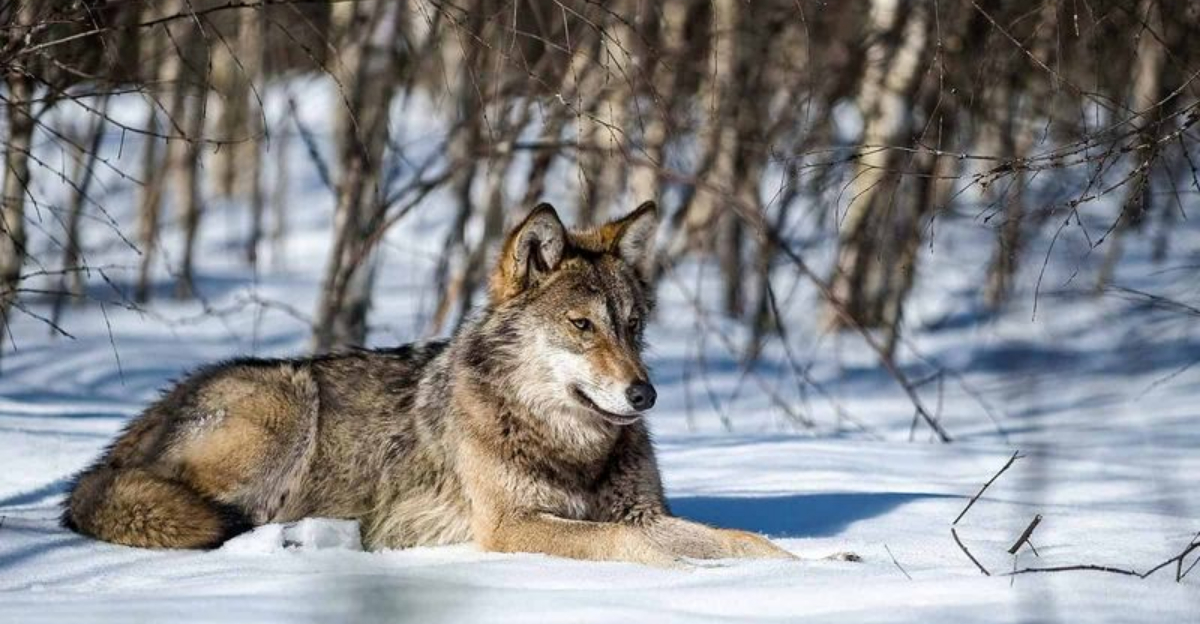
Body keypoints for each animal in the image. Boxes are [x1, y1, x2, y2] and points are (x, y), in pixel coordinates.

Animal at [63, 202, 826, 566]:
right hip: (286, 406)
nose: (645, 396)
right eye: (582, 326)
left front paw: (814, 567)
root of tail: (118, 445)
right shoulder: (513, 525)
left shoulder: (641, 511)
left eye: (633, 326)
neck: (568, 443)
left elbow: (740, 539)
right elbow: (634, 549)